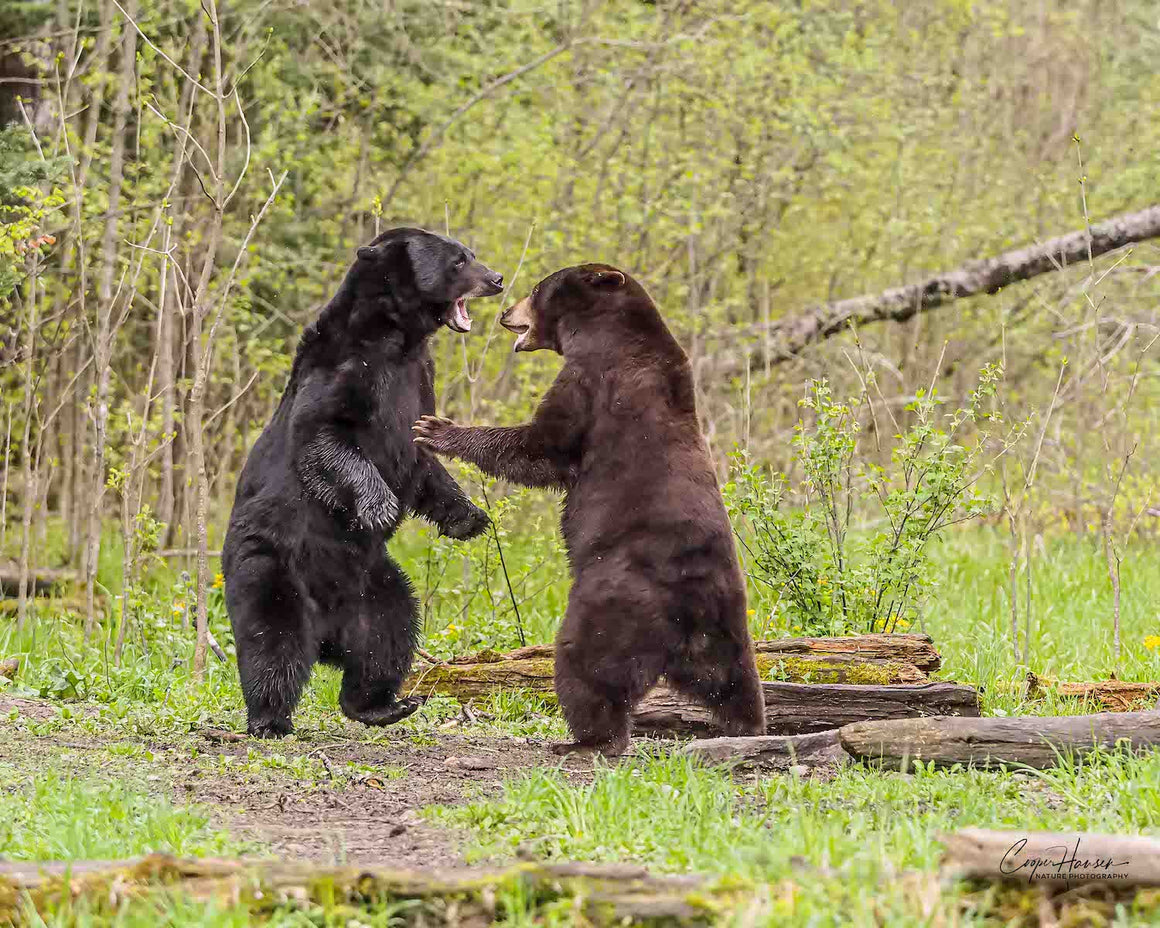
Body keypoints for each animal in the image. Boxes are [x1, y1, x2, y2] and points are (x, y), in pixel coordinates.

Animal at [222, 228, 503, 738]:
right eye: (458, 261)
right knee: (272, 643)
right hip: (268, 567)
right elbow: (326, 434)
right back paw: (271, 720)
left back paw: (383, 705)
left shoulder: (417, 379)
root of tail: (327, 636)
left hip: (377, 584)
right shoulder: (340, 371)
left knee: (389, 635)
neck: (395, 339)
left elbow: (422, 457)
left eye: (470, 254)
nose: (496, 278)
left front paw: (470, 517)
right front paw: (380, 506)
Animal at [412, 264, 765, 755]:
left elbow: (543, 445)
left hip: (611, 608)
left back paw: (586, 739)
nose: (505, 312)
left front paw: (438, 428)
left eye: (536, 289)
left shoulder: (592, 380)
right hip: (726, 628)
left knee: (586, 668)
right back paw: (748, 726)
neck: (608, 333)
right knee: (736, 680)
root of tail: (686, 615)